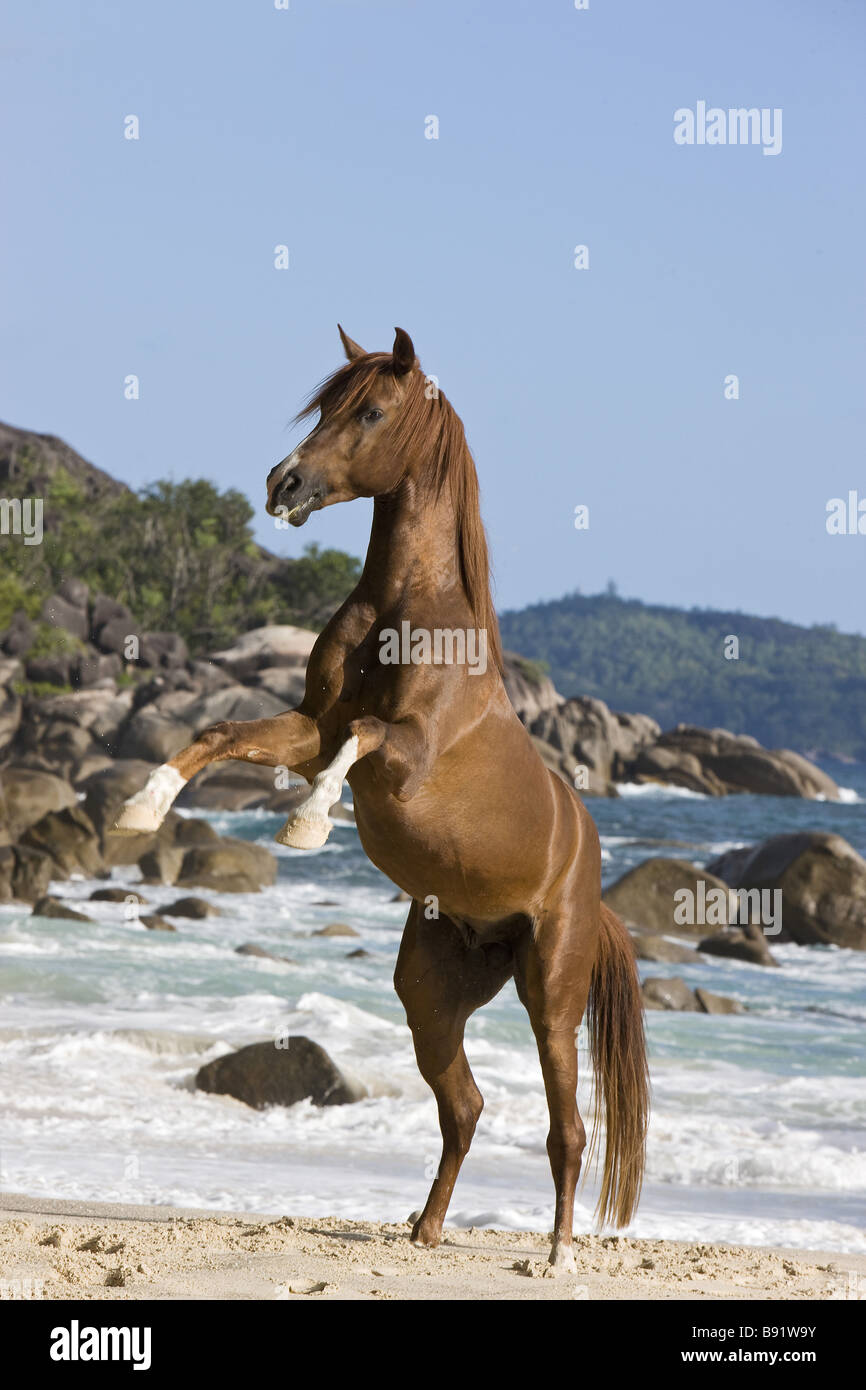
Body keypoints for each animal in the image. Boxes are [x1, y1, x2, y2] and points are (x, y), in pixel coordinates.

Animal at [113, 325, 649, 1272]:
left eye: (371, 411)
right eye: (324, 405)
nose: (283, 484)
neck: (410, 607)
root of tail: (588, 876)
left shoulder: (405, 756)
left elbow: (361, 740)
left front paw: (305, 826)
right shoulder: (307, 727)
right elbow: (224, 733)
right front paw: (144, 805)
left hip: (551, 992)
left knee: (569, 1130)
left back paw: (555, 1255)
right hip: (431, 994)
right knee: (464, 1107)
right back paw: (426, 1231)